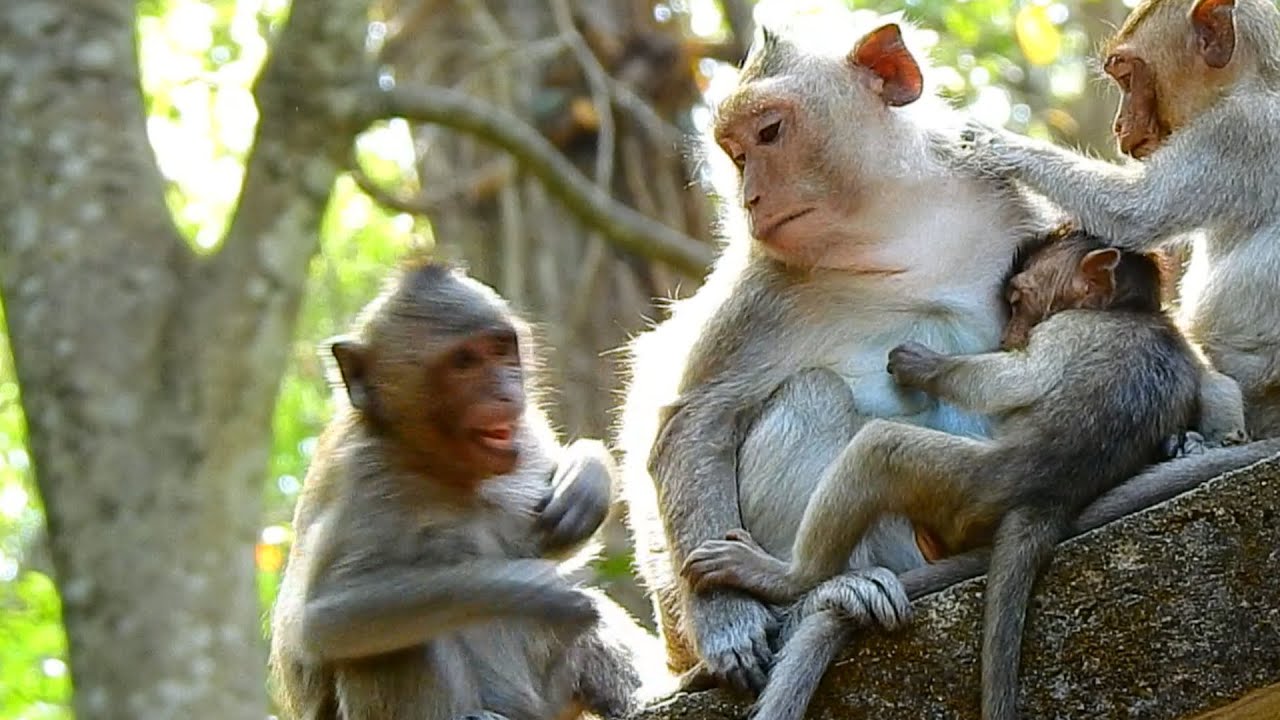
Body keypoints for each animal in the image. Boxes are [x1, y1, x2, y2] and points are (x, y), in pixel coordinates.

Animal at [267, 260, 667, 720]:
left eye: (500, 349)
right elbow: (321, 621)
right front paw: (532, 588)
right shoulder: (361, 475)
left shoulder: (522, 437)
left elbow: (558, 543)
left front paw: (585, 478)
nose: (506, 393)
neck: (440, 467)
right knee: (390, 643)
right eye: (463, 362)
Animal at [682, 226, 1211, 720]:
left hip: (969, 487)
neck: (1131, 313)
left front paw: (921, 365)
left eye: (1017, 301)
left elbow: (1015, 380)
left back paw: (787, 576)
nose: (1007, 335)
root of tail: (1048, 496)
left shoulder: (1066, 329)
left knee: (880, 450)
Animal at [958, 0, 1280, 440]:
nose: (1119, 125)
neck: (1258, 78)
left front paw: (998, 144)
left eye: (1127, 77)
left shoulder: (1235, 129)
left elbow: (1138, 212)